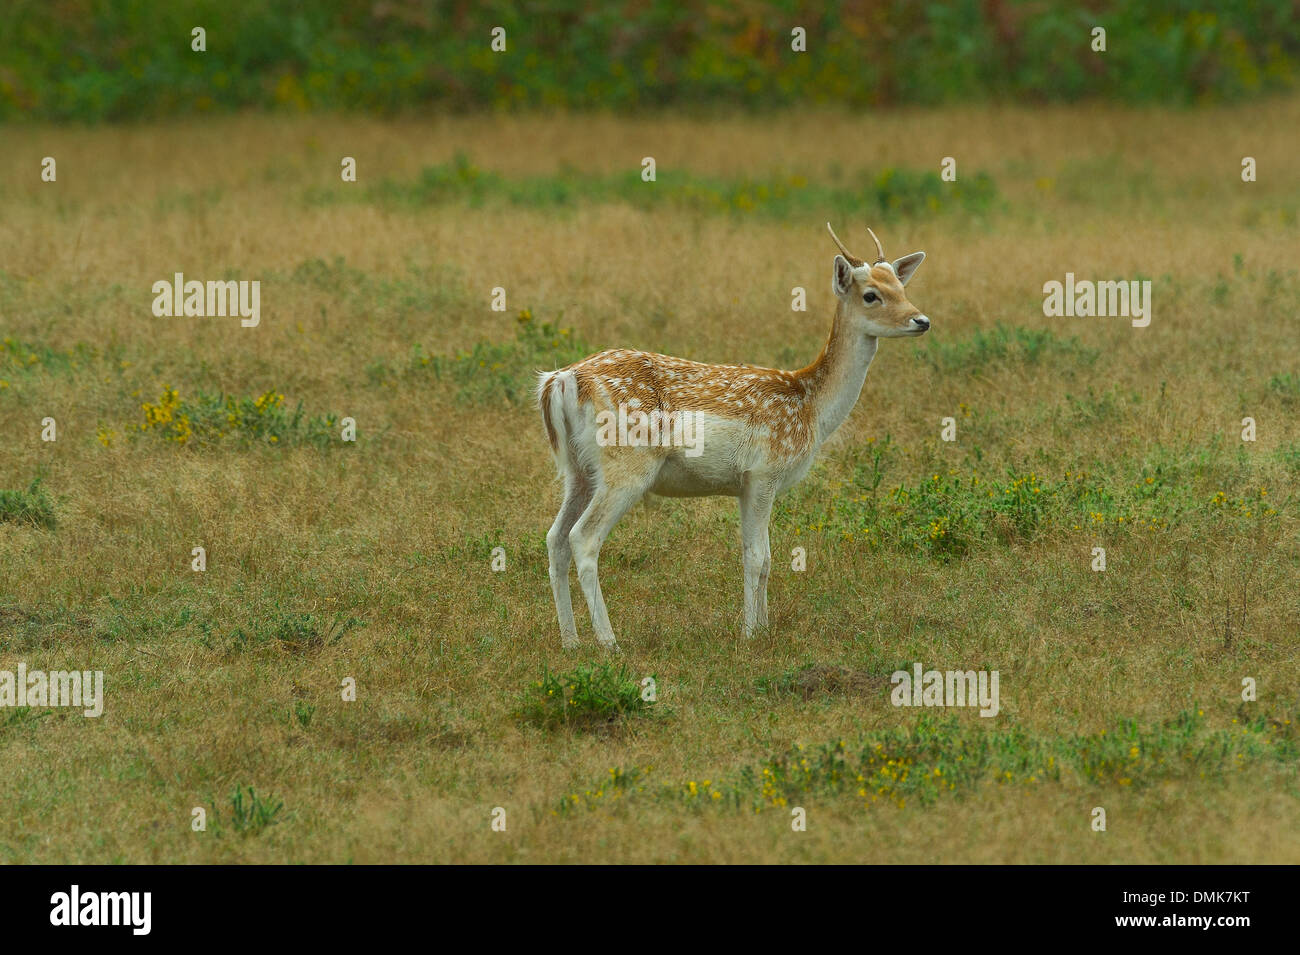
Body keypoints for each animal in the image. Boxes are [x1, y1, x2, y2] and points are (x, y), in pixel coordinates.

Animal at [537, 224, 931, 651]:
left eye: (901, 286)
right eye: (871, 294)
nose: (921, 320)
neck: (810, 406)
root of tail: (560, 381)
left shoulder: (744, 484)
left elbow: (758, 555)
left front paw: (761, 627)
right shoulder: (765, 472)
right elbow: (759, 557)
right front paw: (751, 634)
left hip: (578, 470)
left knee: (556, 537)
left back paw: (570, 641)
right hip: (626, 466)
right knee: (583, 538)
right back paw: (610, 644)